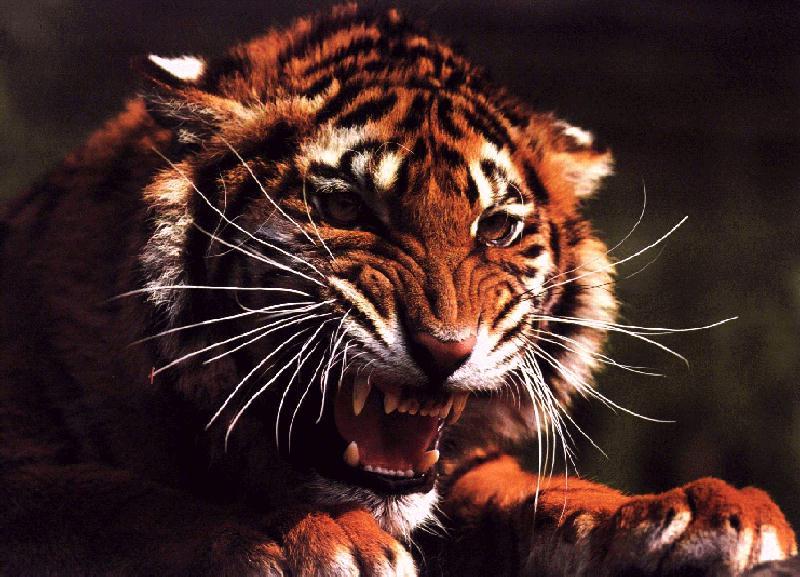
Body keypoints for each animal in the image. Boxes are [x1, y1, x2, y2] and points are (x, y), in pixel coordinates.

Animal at [0, 4, 795, 576]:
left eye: (497, 228)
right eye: (345, 207)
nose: (446, 350)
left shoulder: (465, 472)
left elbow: (542, 492)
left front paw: (706, 514)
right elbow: (122, 500)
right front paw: (312, 538)